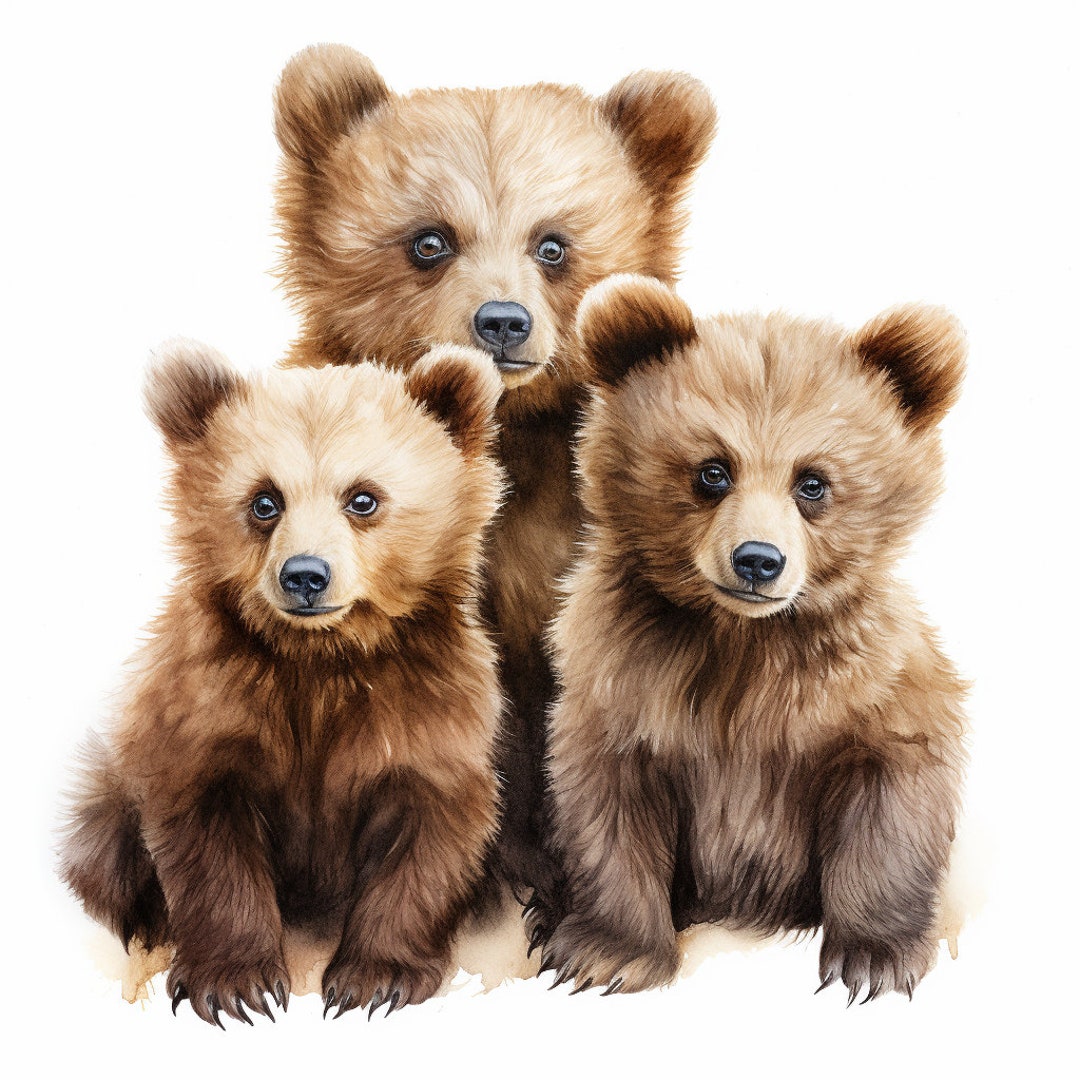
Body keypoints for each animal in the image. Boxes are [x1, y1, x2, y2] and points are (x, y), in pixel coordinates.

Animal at [60, 340, 506, 1024]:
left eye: (363, 498)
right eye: (264, 500)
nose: (305, 575)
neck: (320, 659)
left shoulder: (422, 710)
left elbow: (427, 833)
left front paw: (376, 978)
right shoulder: (209, 708)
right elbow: (210, 842)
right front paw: (235, 984)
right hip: (107, 794)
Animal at [531, 275, 968, 1003]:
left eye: (812, 481)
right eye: (713, 470)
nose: (758, 561)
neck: (744, 638)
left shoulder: (865, 687)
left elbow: (891, 792)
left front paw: (874, 958)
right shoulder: (627, 682)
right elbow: (611, 808)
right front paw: (608, 953)